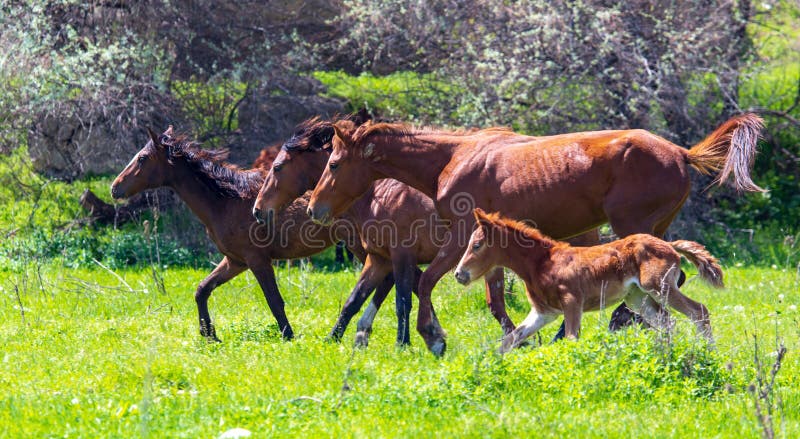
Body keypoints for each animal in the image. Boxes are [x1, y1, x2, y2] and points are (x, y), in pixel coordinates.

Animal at [110, 127, 374, 341]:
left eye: (142, 158)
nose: (114, 188)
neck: (227, 200)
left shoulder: (257, 260)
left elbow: (274, 300)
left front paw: (289, 337)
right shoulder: (235, 261)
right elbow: (202, 289)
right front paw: (210, 335)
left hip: (360, 246)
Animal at [251, 115, 515, 345]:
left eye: (277, 167)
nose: (258, 210)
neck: (380, 193)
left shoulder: (401, 256)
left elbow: (403, 299)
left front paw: (406, 341)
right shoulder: (380, 257)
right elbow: (356, 299)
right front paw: (335, 338)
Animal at [454, 208, 721, 352]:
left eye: (477, 245)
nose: (459, 274)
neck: (542, 262)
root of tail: (670, 245)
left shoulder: (573, 301)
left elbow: (572, 338)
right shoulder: (544, 312)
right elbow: (509, 341)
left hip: (659, 287)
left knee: (699, 311)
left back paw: (709, 353)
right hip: (638, 299)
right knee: (667, 323)